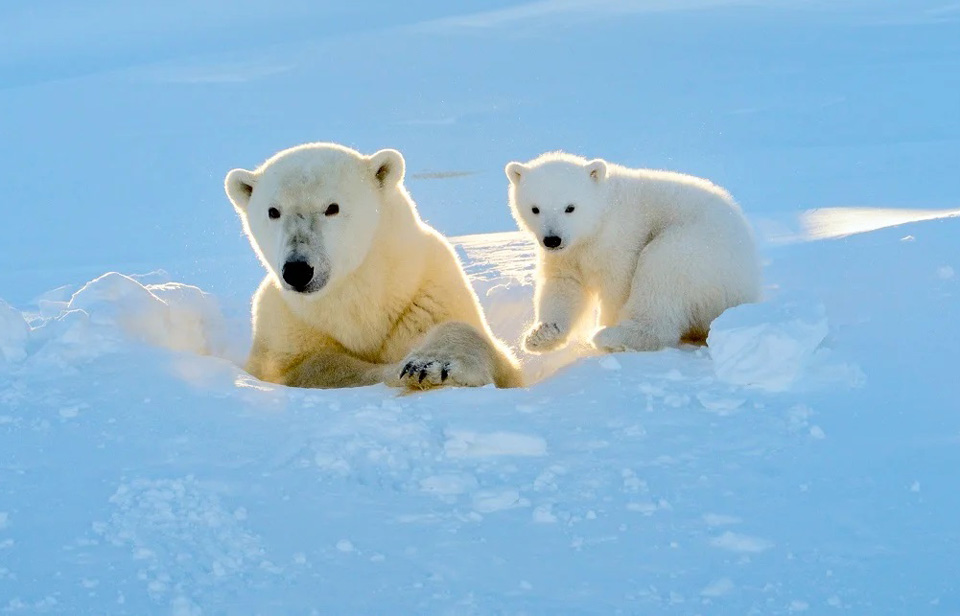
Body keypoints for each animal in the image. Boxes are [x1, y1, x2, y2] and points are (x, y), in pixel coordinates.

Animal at [224, 142, 522, 390]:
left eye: (332, 207)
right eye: (273, 211)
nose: (297, 270)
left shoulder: (427, 294)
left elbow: (487, 349)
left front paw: (430, 365)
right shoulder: (284, 323)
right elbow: (309, 366)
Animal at [505, 152, 761, 354]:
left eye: (570, 207)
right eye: (535, 209)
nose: (552, 239)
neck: (599, 220)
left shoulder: (621, 238)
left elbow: (617, 286)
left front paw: (605, 324)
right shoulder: (567, 254)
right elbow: (564, 285)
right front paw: (541, 336)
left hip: (700, 250)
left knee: (661, 271)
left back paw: (611, 336)